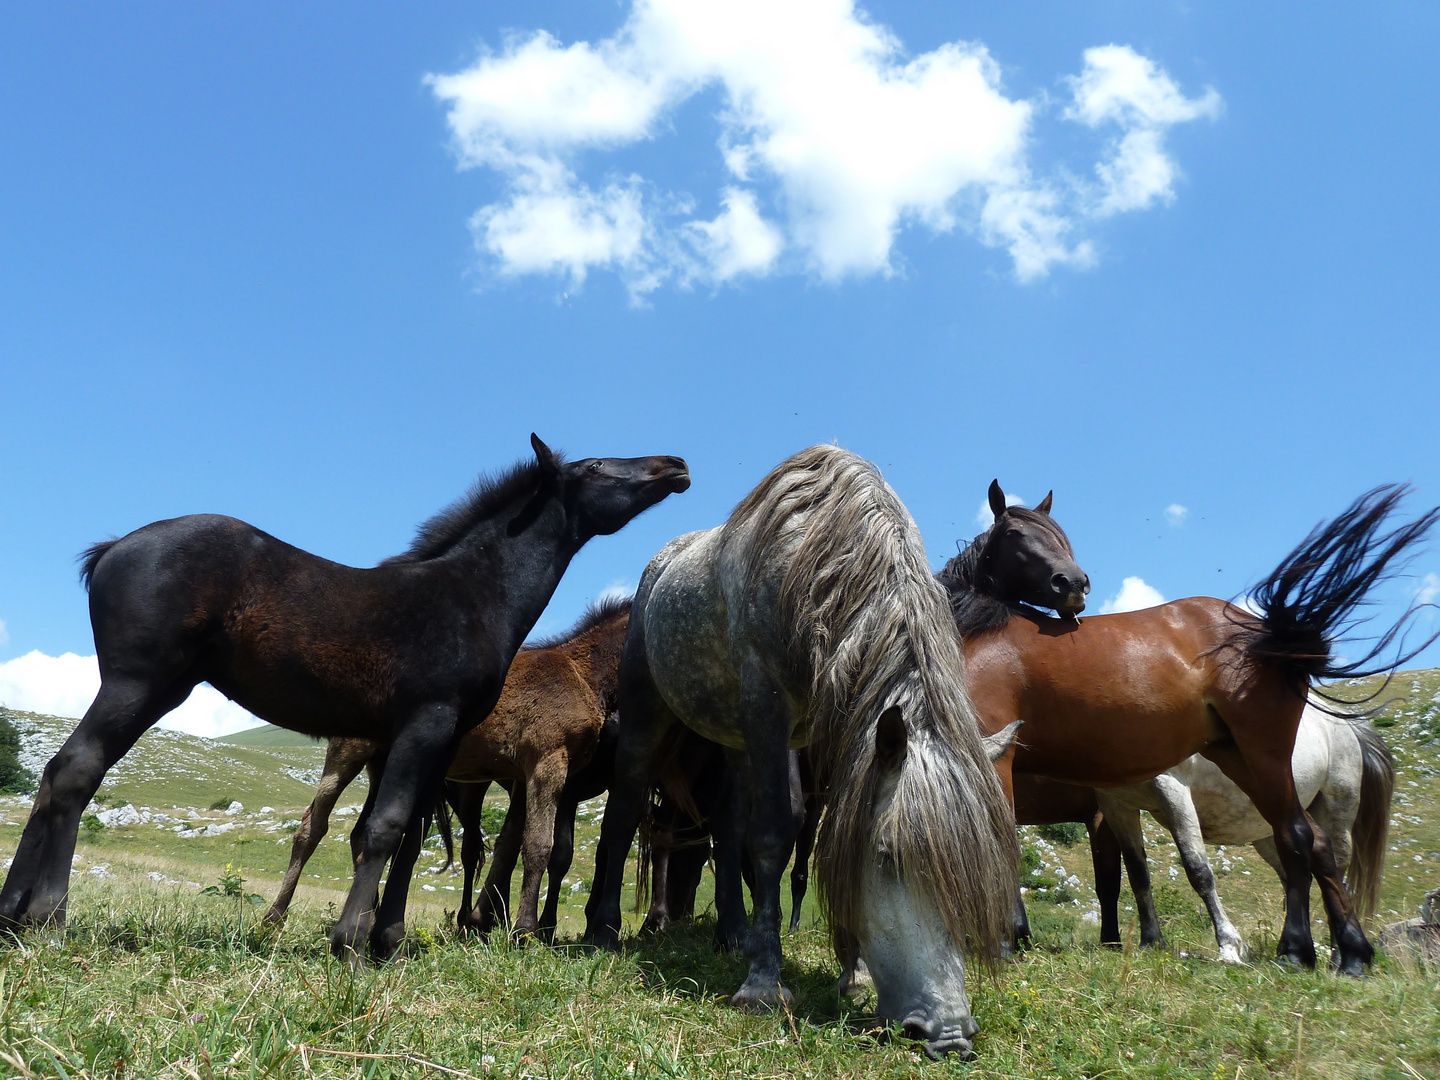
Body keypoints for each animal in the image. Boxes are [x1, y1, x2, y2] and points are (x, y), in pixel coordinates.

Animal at [267, 596, 627, 944]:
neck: (583, 674)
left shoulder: (528, 777)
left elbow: (512, 844)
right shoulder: (548, 763)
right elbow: (538, 845)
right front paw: (525, 931)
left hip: (383, 766)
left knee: (359, 833)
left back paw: (366, 919)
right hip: (348, 751)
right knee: (312, 827)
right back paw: (275, 916)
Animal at [587, 443, 1025, 1059]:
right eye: (889, 857)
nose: (950, 1034)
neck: (821, 564)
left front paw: (853, 972)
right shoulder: (768, 707)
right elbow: (775, 833)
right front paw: (764, 984)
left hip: (735, 736)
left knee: (726, 827)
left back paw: (734, 933)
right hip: (650, 711)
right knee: (626, 806)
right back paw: (604, 930)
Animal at [938, 486, 1434, 979]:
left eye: (1060, 535)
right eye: (1016, 534)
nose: (1074, 584)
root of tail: (1265, 631)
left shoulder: (999, 758)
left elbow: (1003, 847)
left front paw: (1005, 943)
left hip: (1268, 755)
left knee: (1297, 837)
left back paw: (1302, 951)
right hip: (1239, 760)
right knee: (1309, 843)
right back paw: (1347, 952)